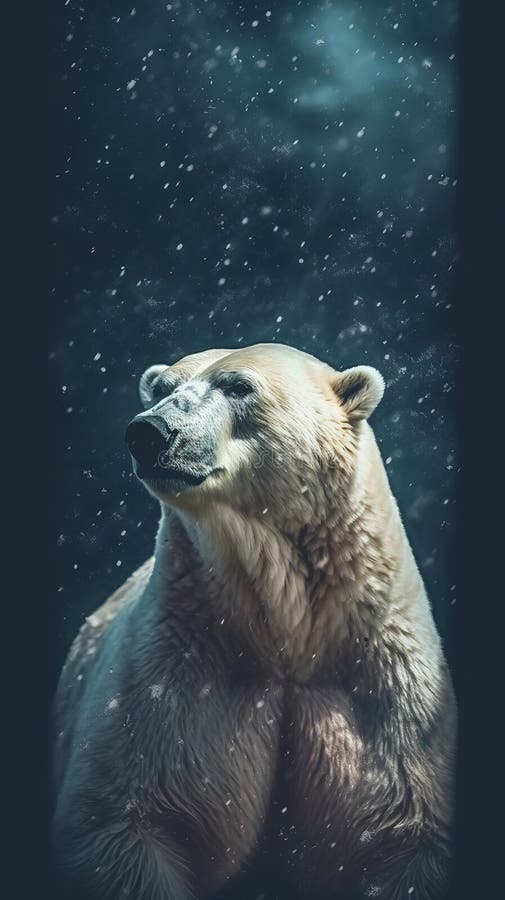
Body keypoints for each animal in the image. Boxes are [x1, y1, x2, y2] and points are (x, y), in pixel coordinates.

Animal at [53, 343, 456, 900]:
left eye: (238, 386)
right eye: (162, 388)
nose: (148, 432)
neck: (284, 633)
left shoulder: (387, 694)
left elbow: (406, 830)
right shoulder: (171, 673)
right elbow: (122, 818)